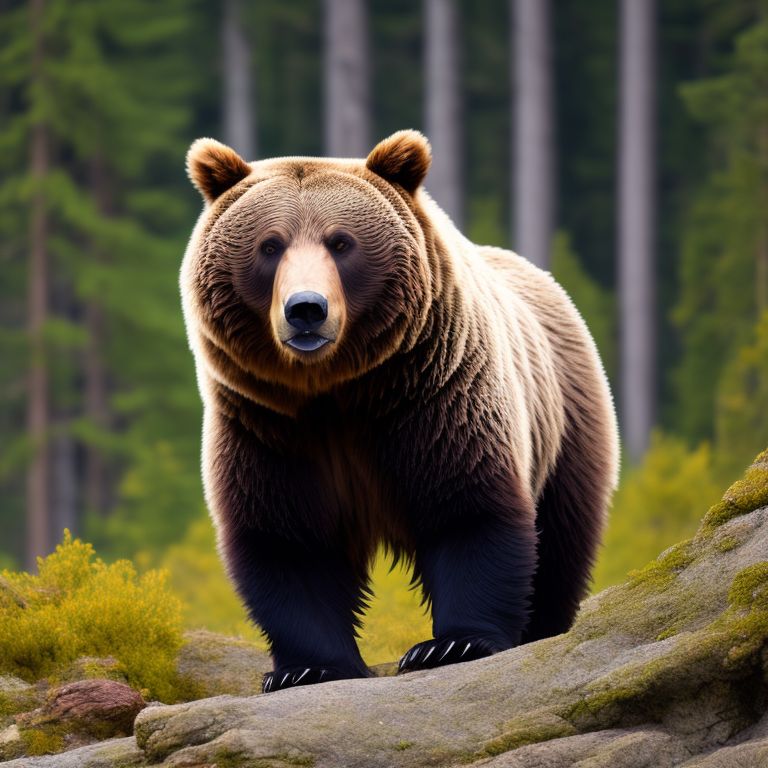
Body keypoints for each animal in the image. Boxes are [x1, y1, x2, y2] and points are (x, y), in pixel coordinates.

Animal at [181, 130, 619, 693]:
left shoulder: (436, 400)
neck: (339, 390)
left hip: (566, 414)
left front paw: (450, 645)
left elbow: (466, 506)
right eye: (270, 245)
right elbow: (289, 542)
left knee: (562, 538)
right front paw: (307, 668)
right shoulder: (268, 426)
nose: (306, 309)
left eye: (341, 242)